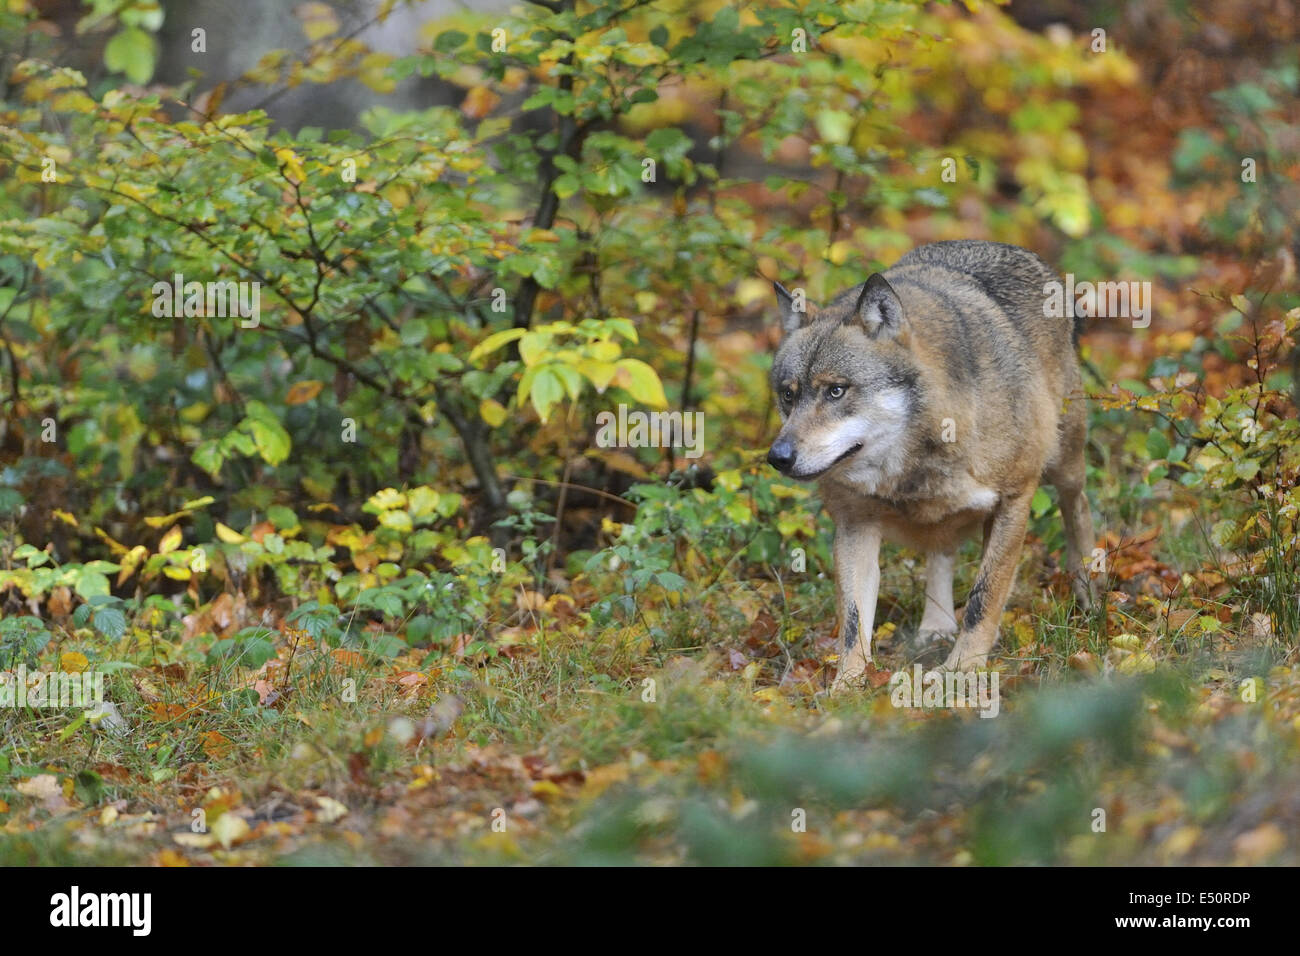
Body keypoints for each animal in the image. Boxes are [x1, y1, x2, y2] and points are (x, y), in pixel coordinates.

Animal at [767, 240, 1095, 690]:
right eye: (788, 395)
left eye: (836, 391)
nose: (778, 457)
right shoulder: (854, 524)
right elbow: (853, 621)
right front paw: (845, 687)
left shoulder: (1014, 500)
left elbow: (983, 598)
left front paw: (960, 673)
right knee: (942, 551)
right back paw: (935, 627)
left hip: (1065, 462)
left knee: (1077, 507)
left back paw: (1090, 591)